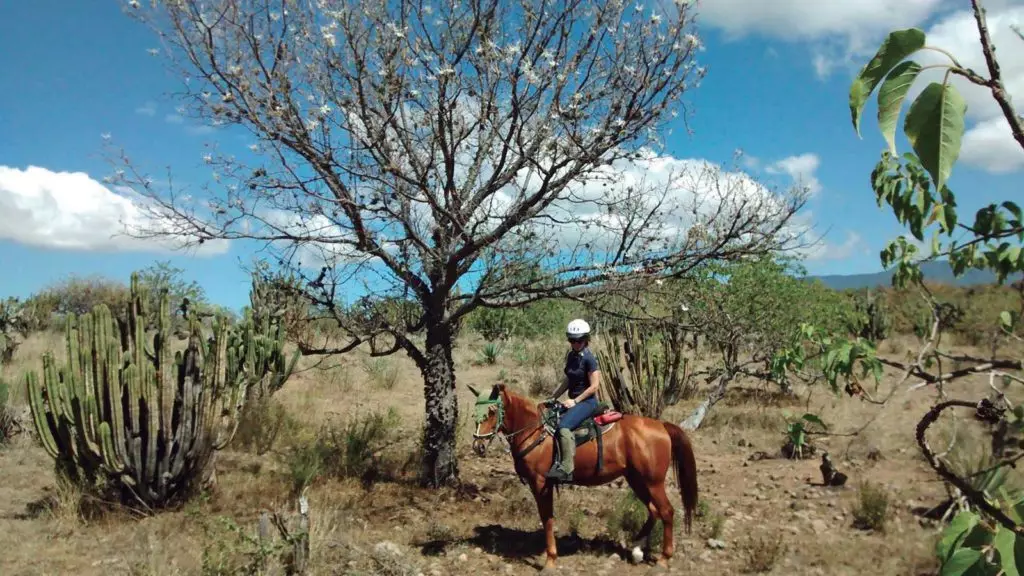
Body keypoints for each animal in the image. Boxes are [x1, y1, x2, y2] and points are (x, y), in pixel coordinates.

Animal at [468, 381, 696, 569]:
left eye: (491, 411)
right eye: (475, 410)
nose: (478, 445)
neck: (534, 431)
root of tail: (661, 426)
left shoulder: (541, 483)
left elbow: (547, 518)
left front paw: (550, 560)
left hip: (653, 482)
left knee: (666, 511)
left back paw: (664, 559)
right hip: (637, 479)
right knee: (653, 510)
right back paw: (637, 551)